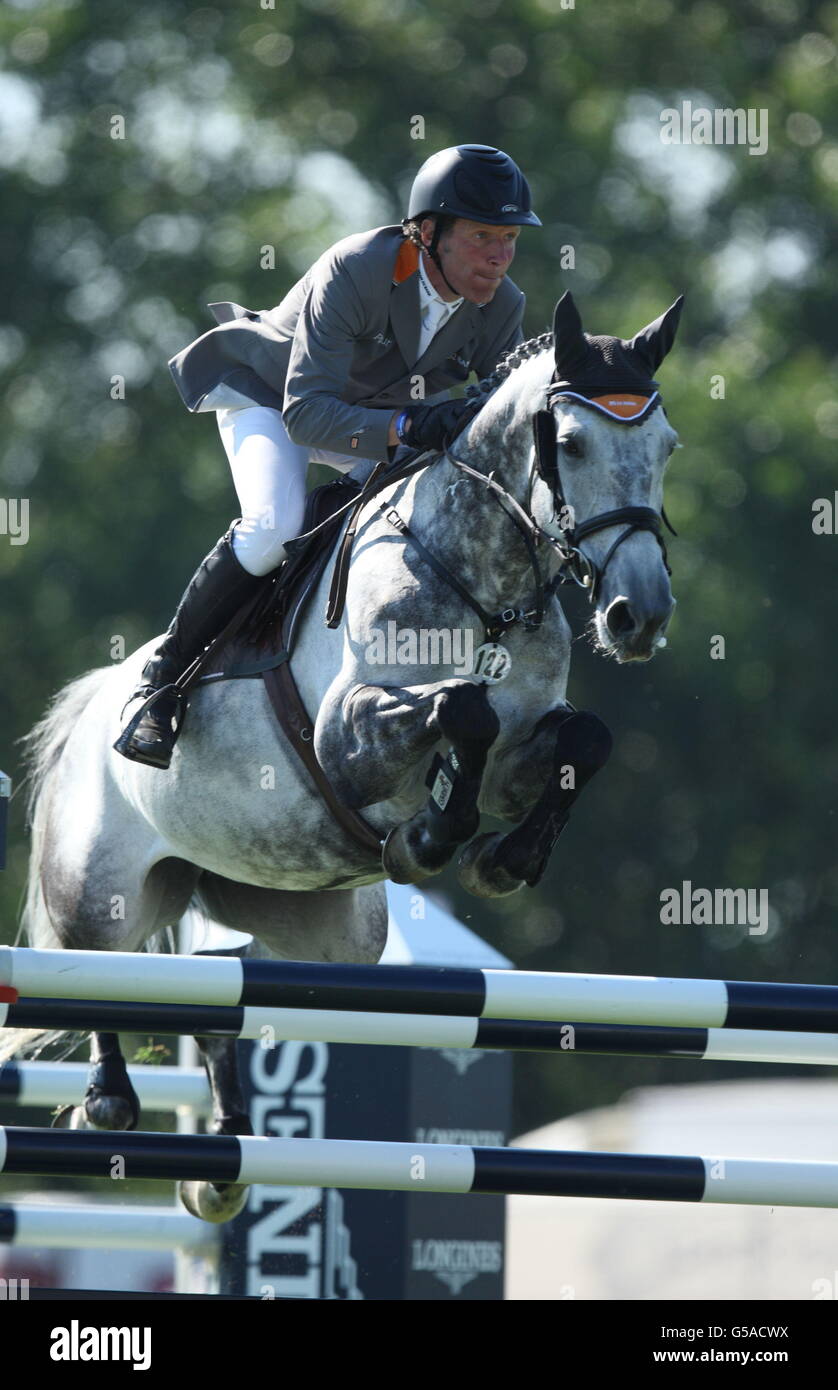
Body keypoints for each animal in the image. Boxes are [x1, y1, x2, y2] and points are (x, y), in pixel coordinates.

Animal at [2, 290, 683, 1221]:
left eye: (666, 447)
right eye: (572, 443)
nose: (637, 617)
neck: (489, 588)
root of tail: (92, 702)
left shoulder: (524, 754)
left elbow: (584, 738)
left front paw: (500, 860)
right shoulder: (345, 738)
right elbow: (460, 709)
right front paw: (430, 839)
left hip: (314, 930)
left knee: (227, 990)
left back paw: (223, 1150)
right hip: (100, 886)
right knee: (94, 968)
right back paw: (110, 1098)